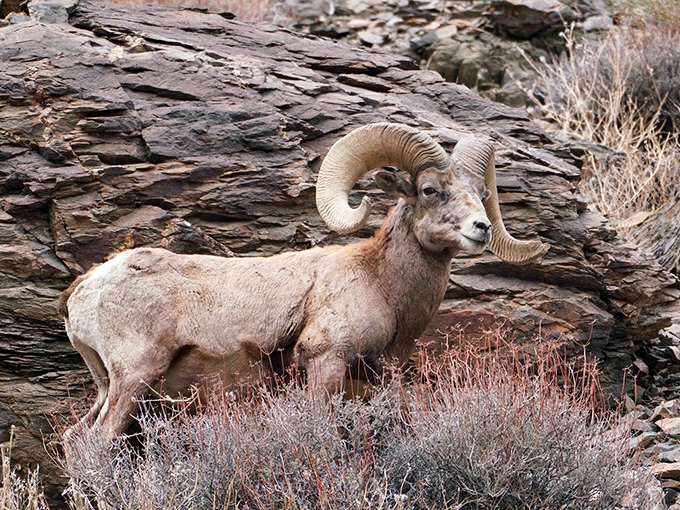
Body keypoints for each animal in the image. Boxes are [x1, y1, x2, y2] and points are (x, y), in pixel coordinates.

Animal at [57, 123, 548, 440]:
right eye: (430, 190)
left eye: (481, 195)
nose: (480, 228)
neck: (380, 283)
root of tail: (83, 289)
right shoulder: (325, 362)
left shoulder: (378, 378)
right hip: (134, 378)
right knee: (96, 445)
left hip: (109, 386)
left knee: (74, 441)